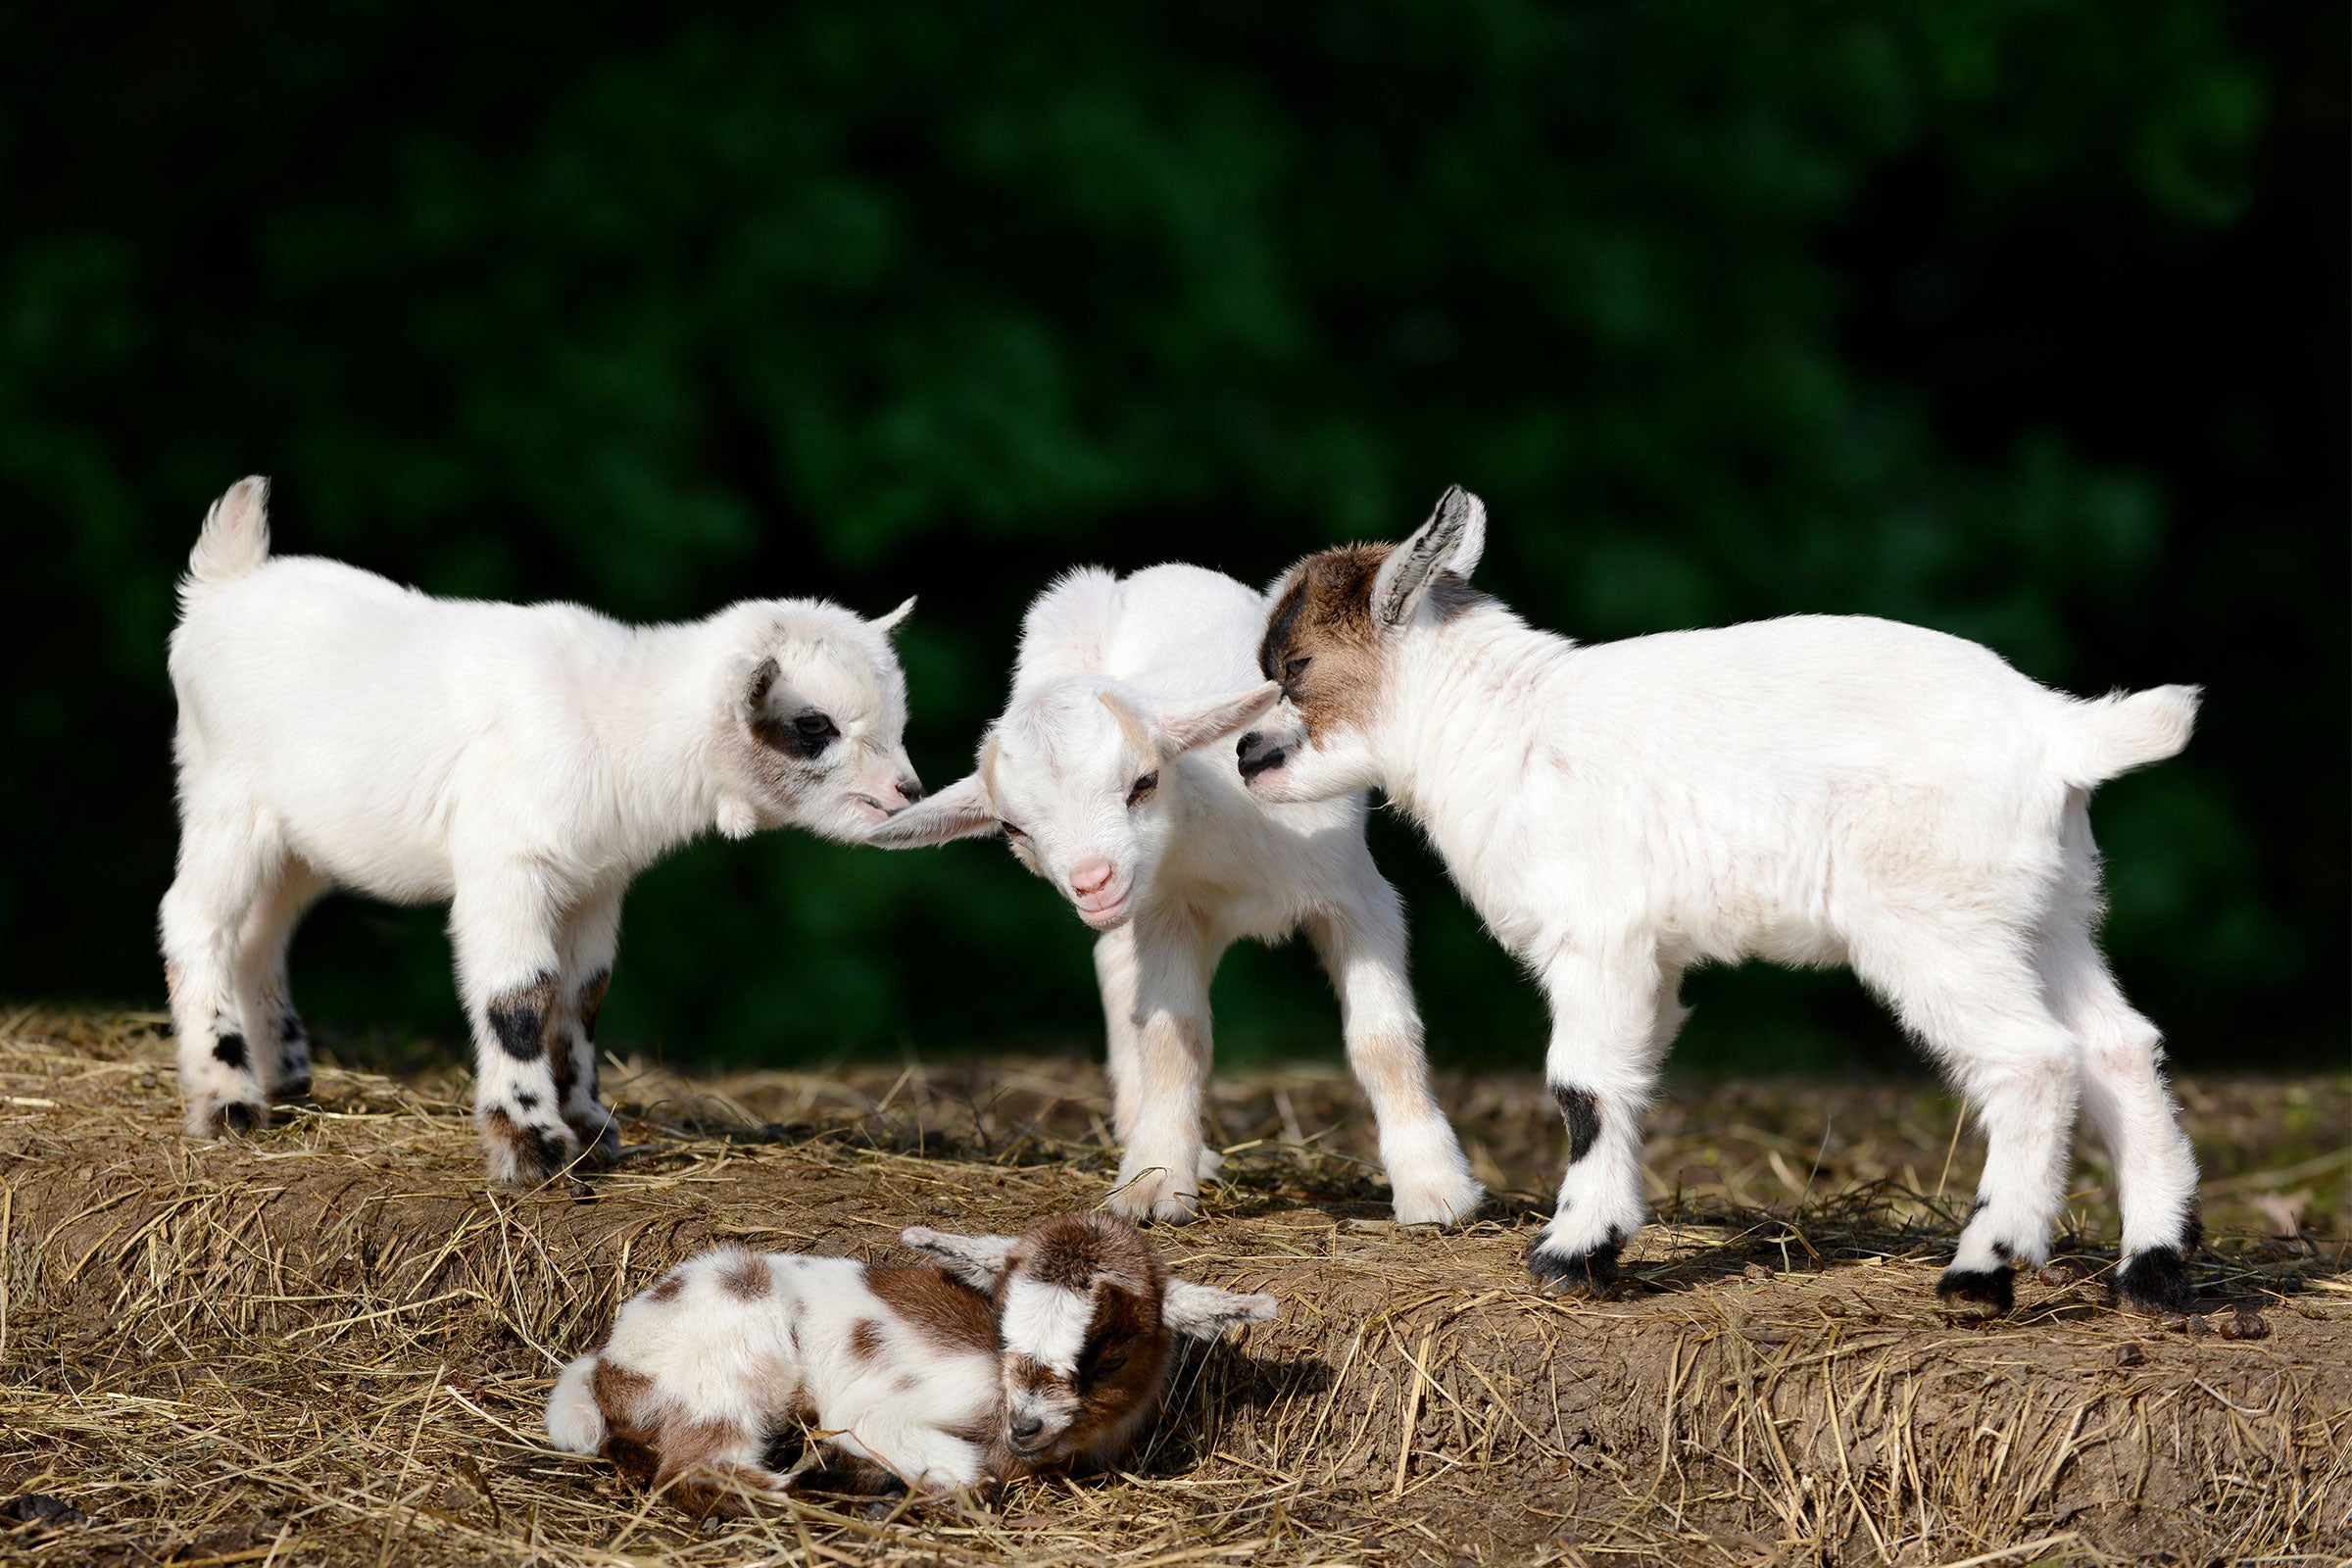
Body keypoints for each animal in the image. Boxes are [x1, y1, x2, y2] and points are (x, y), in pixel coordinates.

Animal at [162, 477, 922, 1183]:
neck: (621, 724)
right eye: (814, 725)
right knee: (194, 920)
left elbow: (581, 997)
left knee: (257, 936)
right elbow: (519, 997)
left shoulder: (595, 885)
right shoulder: (508, 868)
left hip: (299, 844)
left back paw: (284, 1079)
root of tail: (226, 581)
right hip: (228, 802)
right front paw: (532, 1143)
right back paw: (227, 1097)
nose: (909, 792)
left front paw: (589, 1127)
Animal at [544, 1213, 1276, 1512]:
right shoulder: (879, 1412)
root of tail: (611, 1360)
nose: (1026, 1425)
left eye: (1112, 1356)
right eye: (1003, 1328)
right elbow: (974, 1476)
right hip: (729, 1373)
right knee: (692, 1470)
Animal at [864, 565, 1483, 1228]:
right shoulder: (1167, 913)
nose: (1093, 882)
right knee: (1117, 973)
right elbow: (1170, 1034)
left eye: (1144, 782)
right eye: (1011, 827)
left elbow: (1382, 1038)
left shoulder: (1358, 899)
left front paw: (1435, 1189)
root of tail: (1143, 577)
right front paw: (1155, 1181)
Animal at [1237, 487, 2204, 1314]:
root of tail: (2059, 732)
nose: (1248, 756)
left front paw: (1570, 1255)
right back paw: (2152, 1268)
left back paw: (1983, 1269)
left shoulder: (1598, 938)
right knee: (2117, 1046)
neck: (1503, 726)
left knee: (2034, 1059)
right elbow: (1629, 1080)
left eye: (1299, 665)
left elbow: (1581, 1086)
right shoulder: (1651, 958)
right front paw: (1603, 1242)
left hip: (1936, 922)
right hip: (2048, 914)